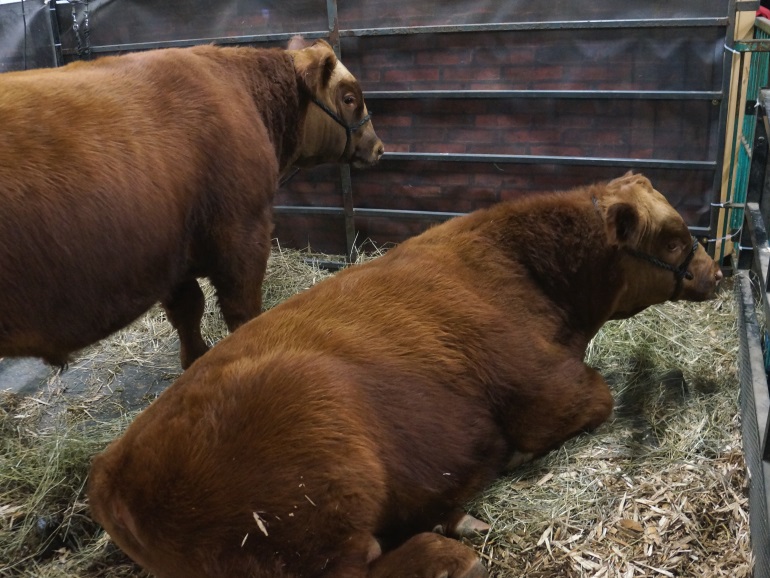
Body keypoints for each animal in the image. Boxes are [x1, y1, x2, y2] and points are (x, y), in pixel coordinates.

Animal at [0, 37, 383, 369]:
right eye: (349, 98)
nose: (379, 147)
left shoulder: (172, 257)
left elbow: (187, 310)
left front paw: (195, 359)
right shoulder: (243, 235)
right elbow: (241, 310)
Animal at [88, 173, 722, 578]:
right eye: (673, 239)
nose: (715, 272)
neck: (524, 274)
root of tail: (112, 474)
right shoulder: (544, 388)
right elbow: (598, 396)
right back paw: (451, 556)